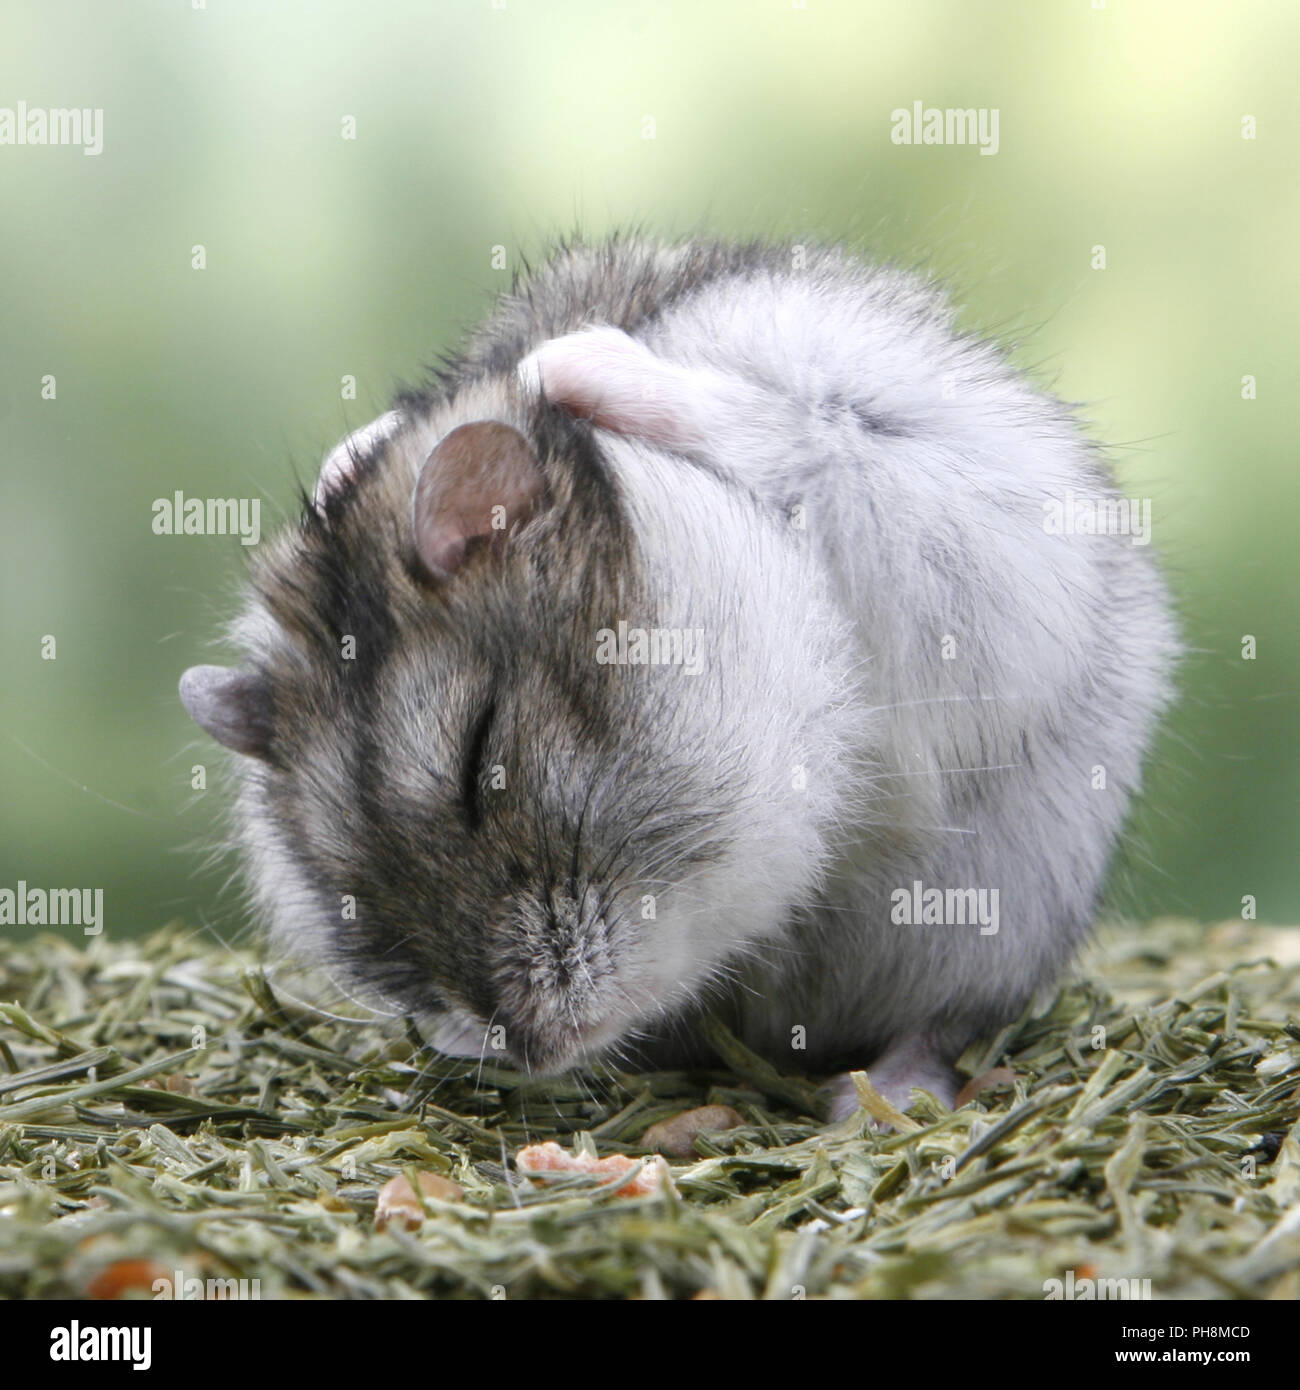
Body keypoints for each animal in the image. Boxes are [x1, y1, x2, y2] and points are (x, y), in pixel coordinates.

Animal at [179, 236, 1177, 1121]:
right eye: (337, 876)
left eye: (479, 752)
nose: (527, 1049)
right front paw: (359, 455)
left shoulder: (921, 464)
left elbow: (793, 428)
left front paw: (558, 363)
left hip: (997, 921)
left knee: (950, 1022)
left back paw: (876, 1102)